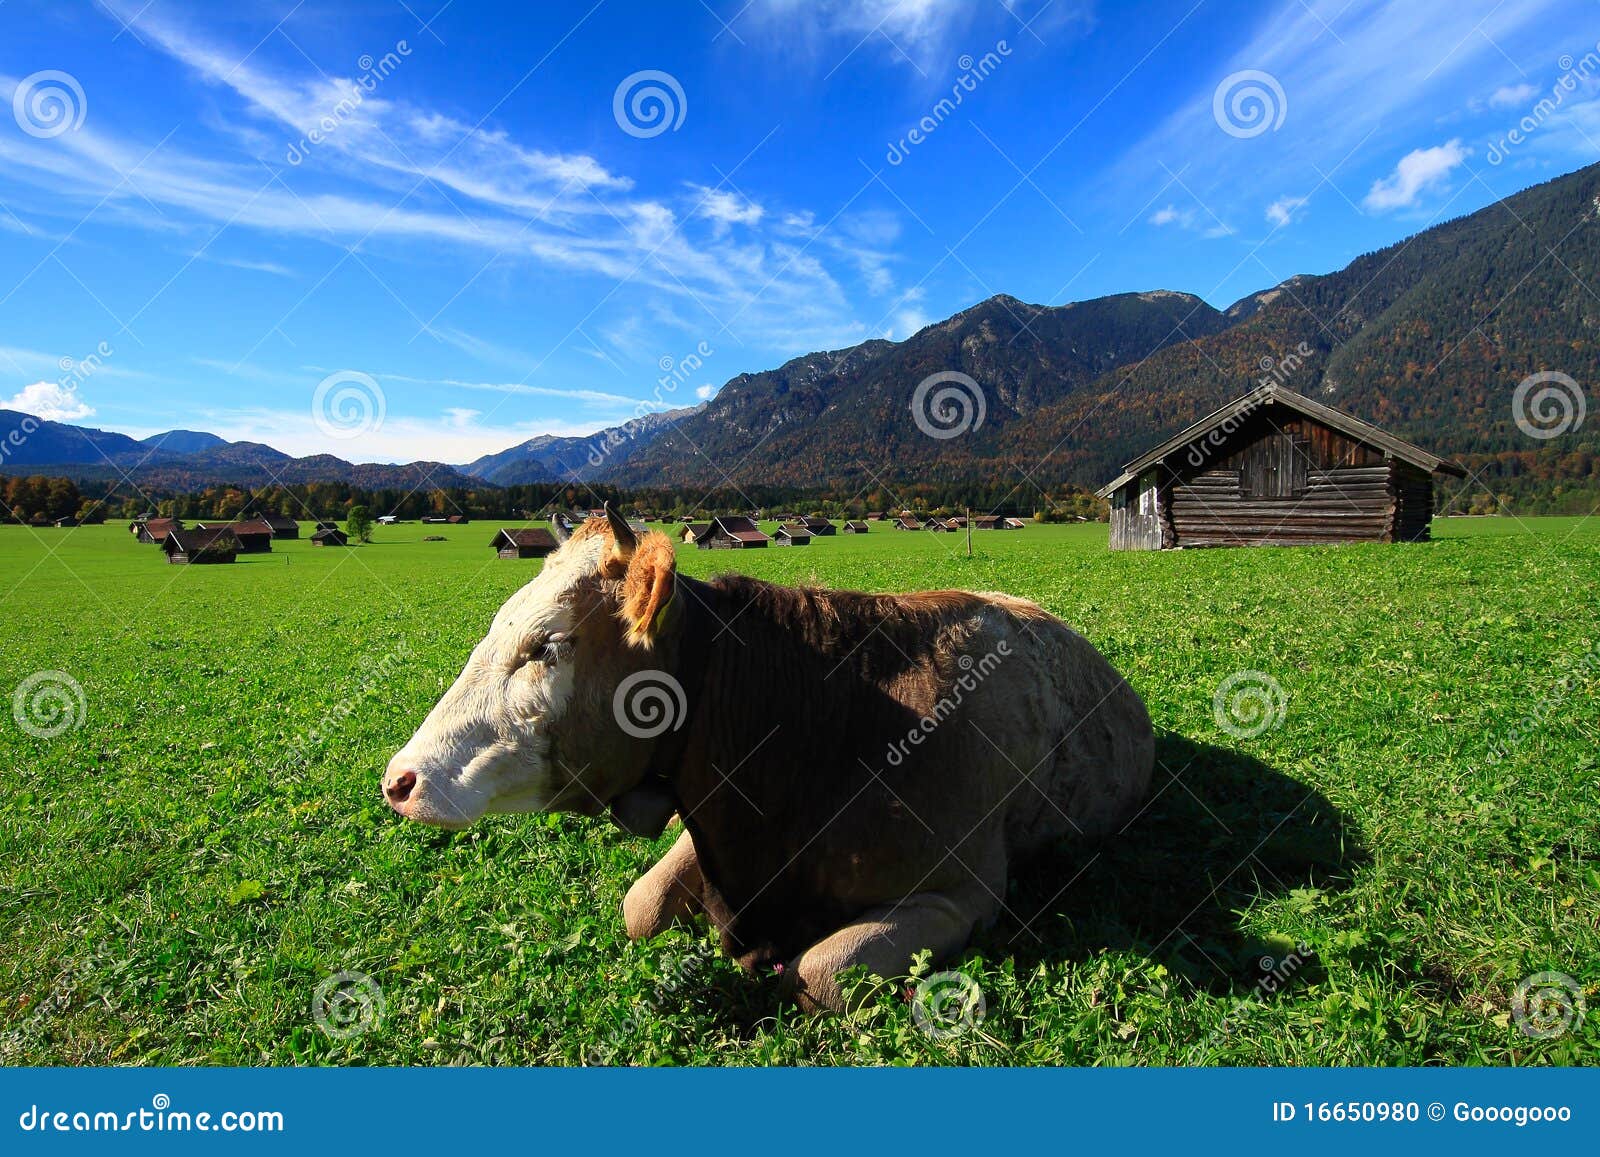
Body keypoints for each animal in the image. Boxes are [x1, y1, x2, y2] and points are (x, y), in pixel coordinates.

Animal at [384, 506, 1153, 1012]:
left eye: (546, 646)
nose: (398, 779)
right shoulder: (705, 814)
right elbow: (640, 906)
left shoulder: (966, 892)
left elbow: (817, 973)